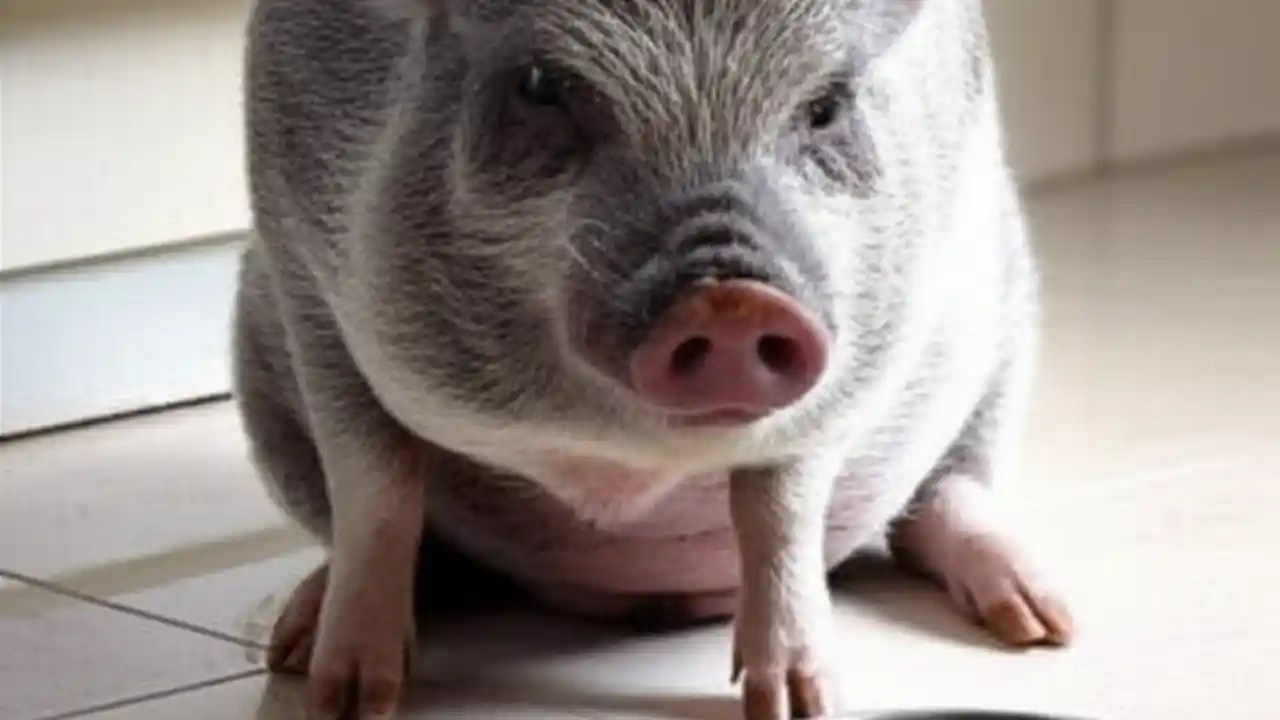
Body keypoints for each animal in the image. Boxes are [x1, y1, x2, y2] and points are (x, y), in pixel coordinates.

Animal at [233, 0, 1074, 718]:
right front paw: (343, 700)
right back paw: (289, 640)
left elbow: (781, 509)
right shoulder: (305, 275)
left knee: (943, 497)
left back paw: (1041, 622)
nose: (733, 301)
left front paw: (800, 703)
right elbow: (376, 490)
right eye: (539, 85)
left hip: (1007, 330)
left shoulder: (847, 373)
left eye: (826, 105)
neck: (624, 463)